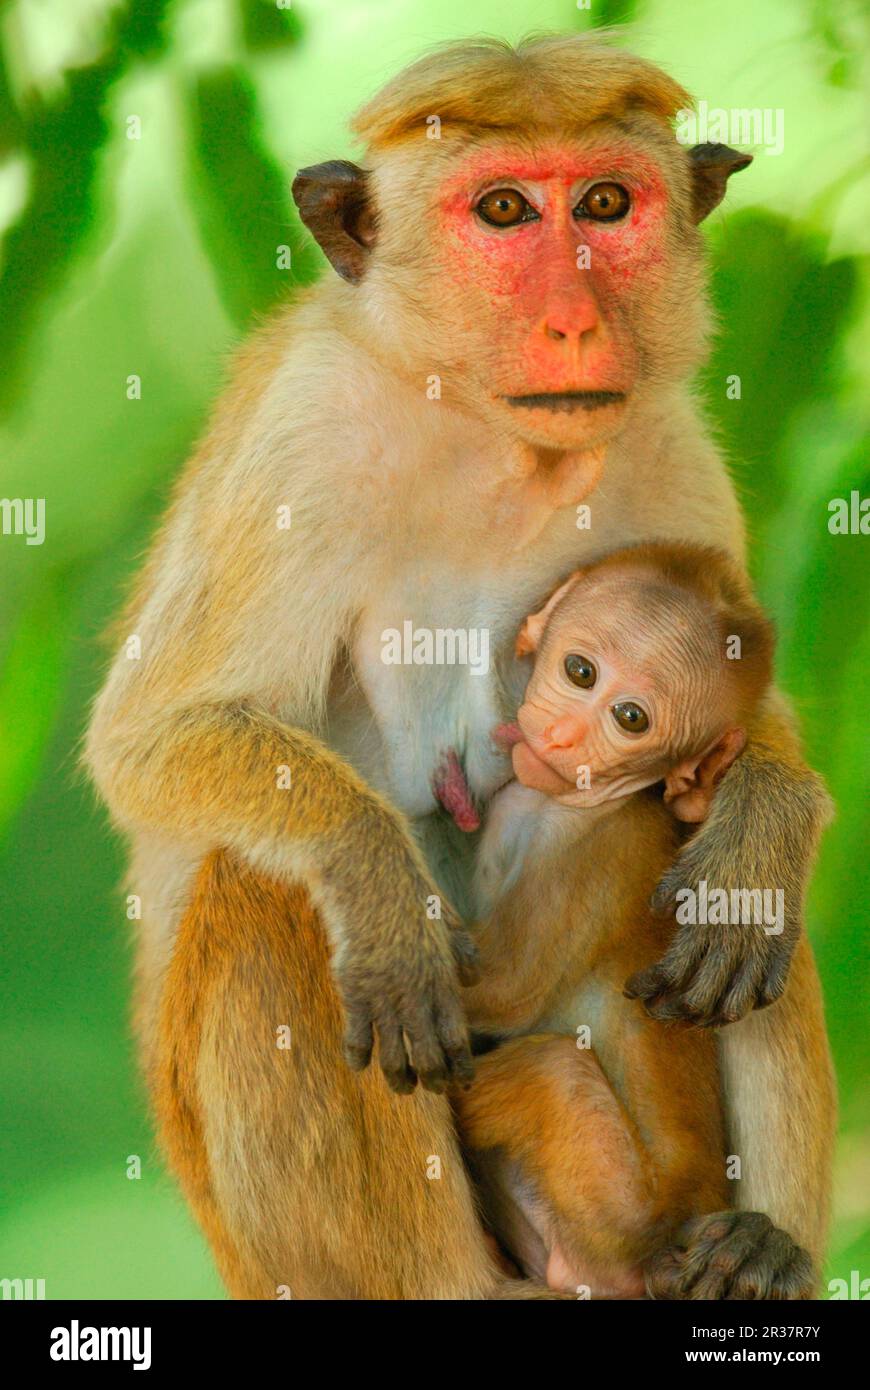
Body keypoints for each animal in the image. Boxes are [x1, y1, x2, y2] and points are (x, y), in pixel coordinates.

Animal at [454, 541, 818, 1298]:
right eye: (580, 671)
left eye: (630, 719)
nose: (564, 737)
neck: (563, 804)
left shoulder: (600, 853)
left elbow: (504, 989)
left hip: (621, 1205)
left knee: (550, 1068)